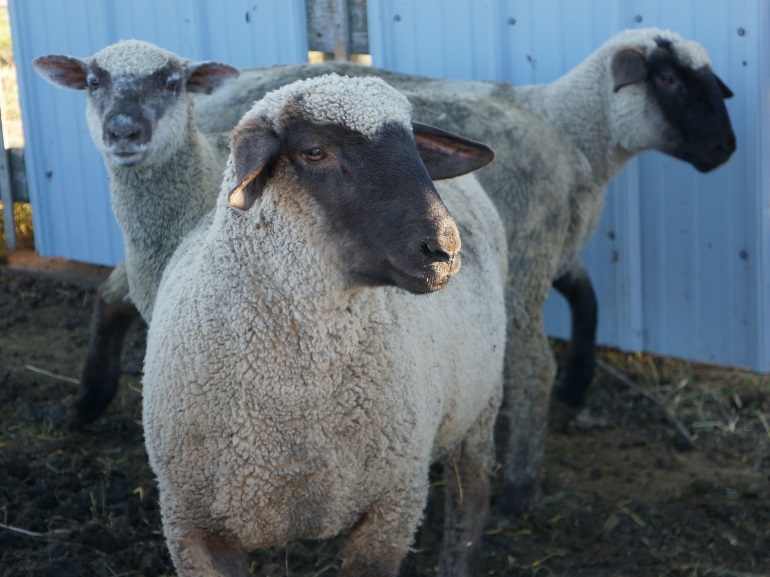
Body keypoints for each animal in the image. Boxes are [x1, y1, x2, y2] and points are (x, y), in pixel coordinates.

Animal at [141, 74, 507, 577]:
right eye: (315, 152)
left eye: (412, 142)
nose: (445, 249)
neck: (296, 401)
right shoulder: (192, 527)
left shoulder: (392, 509)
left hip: (481, 403)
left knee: (470, 492)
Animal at [192, 27, 736, 516]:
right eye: (668, 77)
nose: (725, 149)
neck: (572, 131)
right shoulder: (546, 254)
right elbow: (586, 301)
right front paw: (575, 385)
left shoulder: (547, 254)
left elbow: (587, 302)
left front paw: (575, 387)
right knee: (535, 365)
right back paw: (520, 488)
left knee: (534, 366)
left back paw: (519, 489)